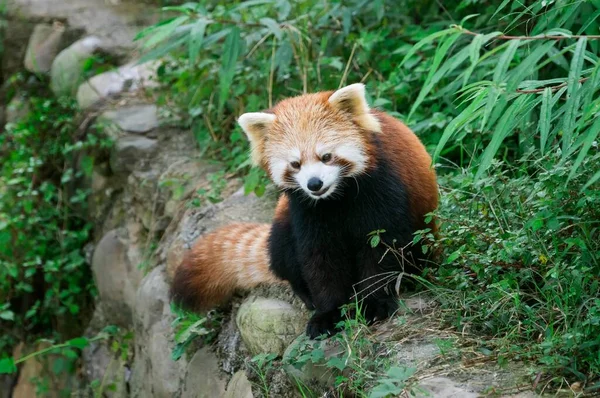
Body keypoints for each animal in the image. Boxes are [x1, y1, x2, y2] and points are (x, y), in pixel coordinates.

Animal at [171, 84, 438, 338]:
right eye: (295, 164)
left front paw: (374, 303)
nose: (314, 184)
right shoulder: (306, 210)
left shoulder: (382, 189)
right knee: (284, 256)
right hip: (283, 223)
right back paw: (306, 296)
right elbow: (320, 257)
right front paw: (329, 314)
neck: (337, 198)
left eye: (326, 156)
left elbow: (382, 248)